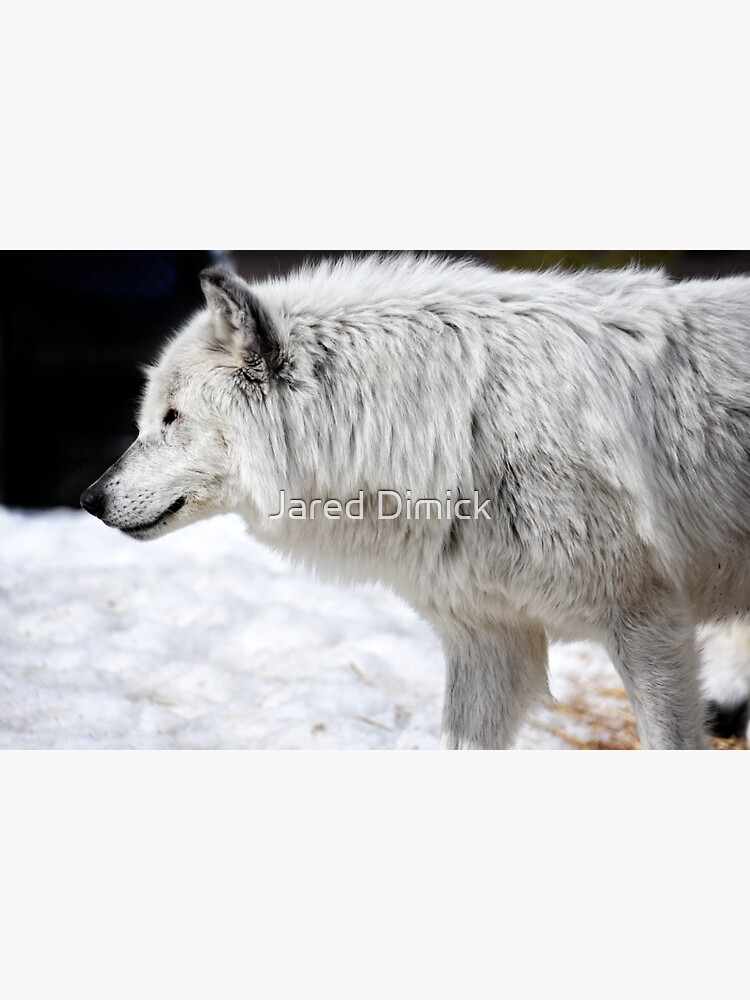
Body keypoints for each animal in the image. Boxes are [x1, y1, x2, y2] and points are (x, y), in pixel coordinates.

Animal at [80, 255, 750, 749]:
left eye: (172, 417)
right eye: (148, 418)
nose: (90, 499)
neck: (454, 425)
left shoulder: (649, 623)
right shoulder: (488, 641)